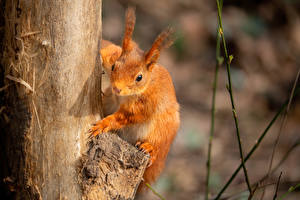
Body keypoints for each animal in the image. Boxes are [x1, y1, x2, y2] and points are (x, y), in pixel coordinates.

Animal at [89, 7, 179, 191]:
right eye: (114, 66)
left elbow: (126, 116)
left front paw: (103, 124)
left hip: (164, 129)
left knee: (157, 146)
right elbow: (108, 48)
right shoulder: (112, 54)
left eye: (139, 77)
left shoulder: (146, 104)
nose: (117, 88)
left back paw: (149, 148)